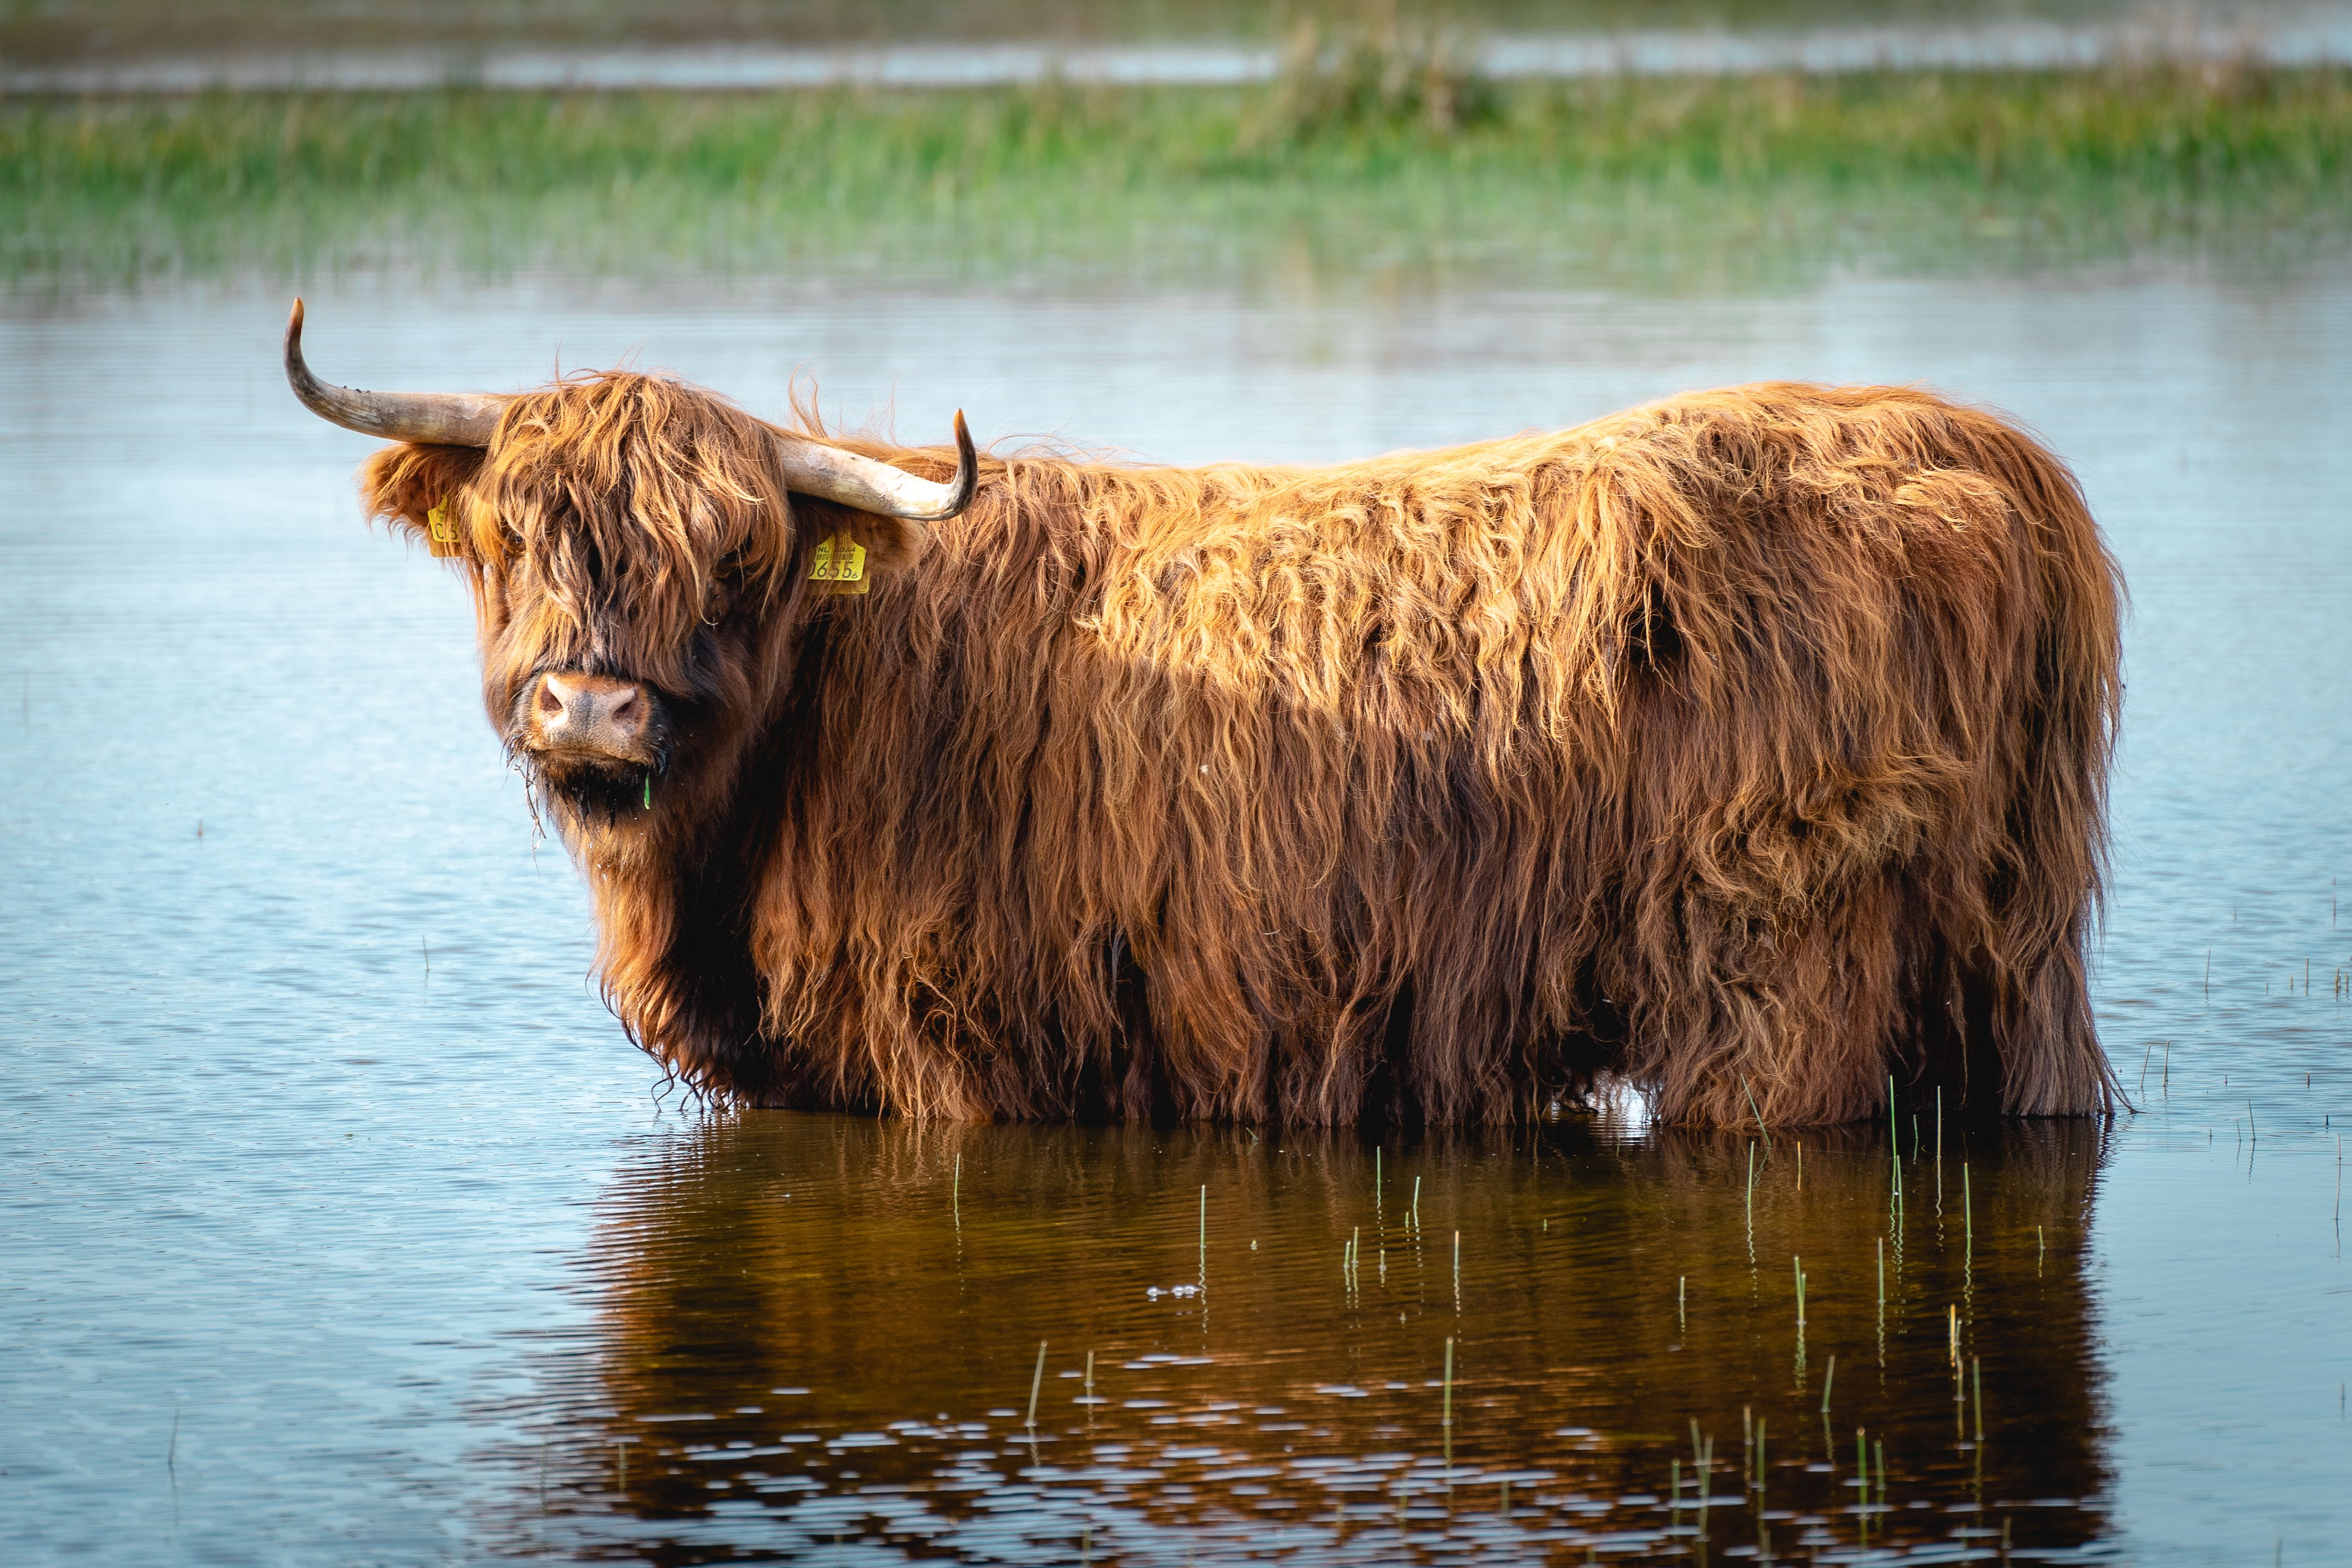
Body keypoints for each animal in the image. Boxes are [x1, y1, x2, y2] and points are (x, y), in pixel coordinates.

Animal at [284, 298, 2122, 1128]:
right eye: (510, 536)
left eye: (741, 558)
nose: (592, 707)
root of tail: (1970, 446)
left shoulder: (956, 1046)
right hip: (2008, 968)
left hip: (1783, 968)